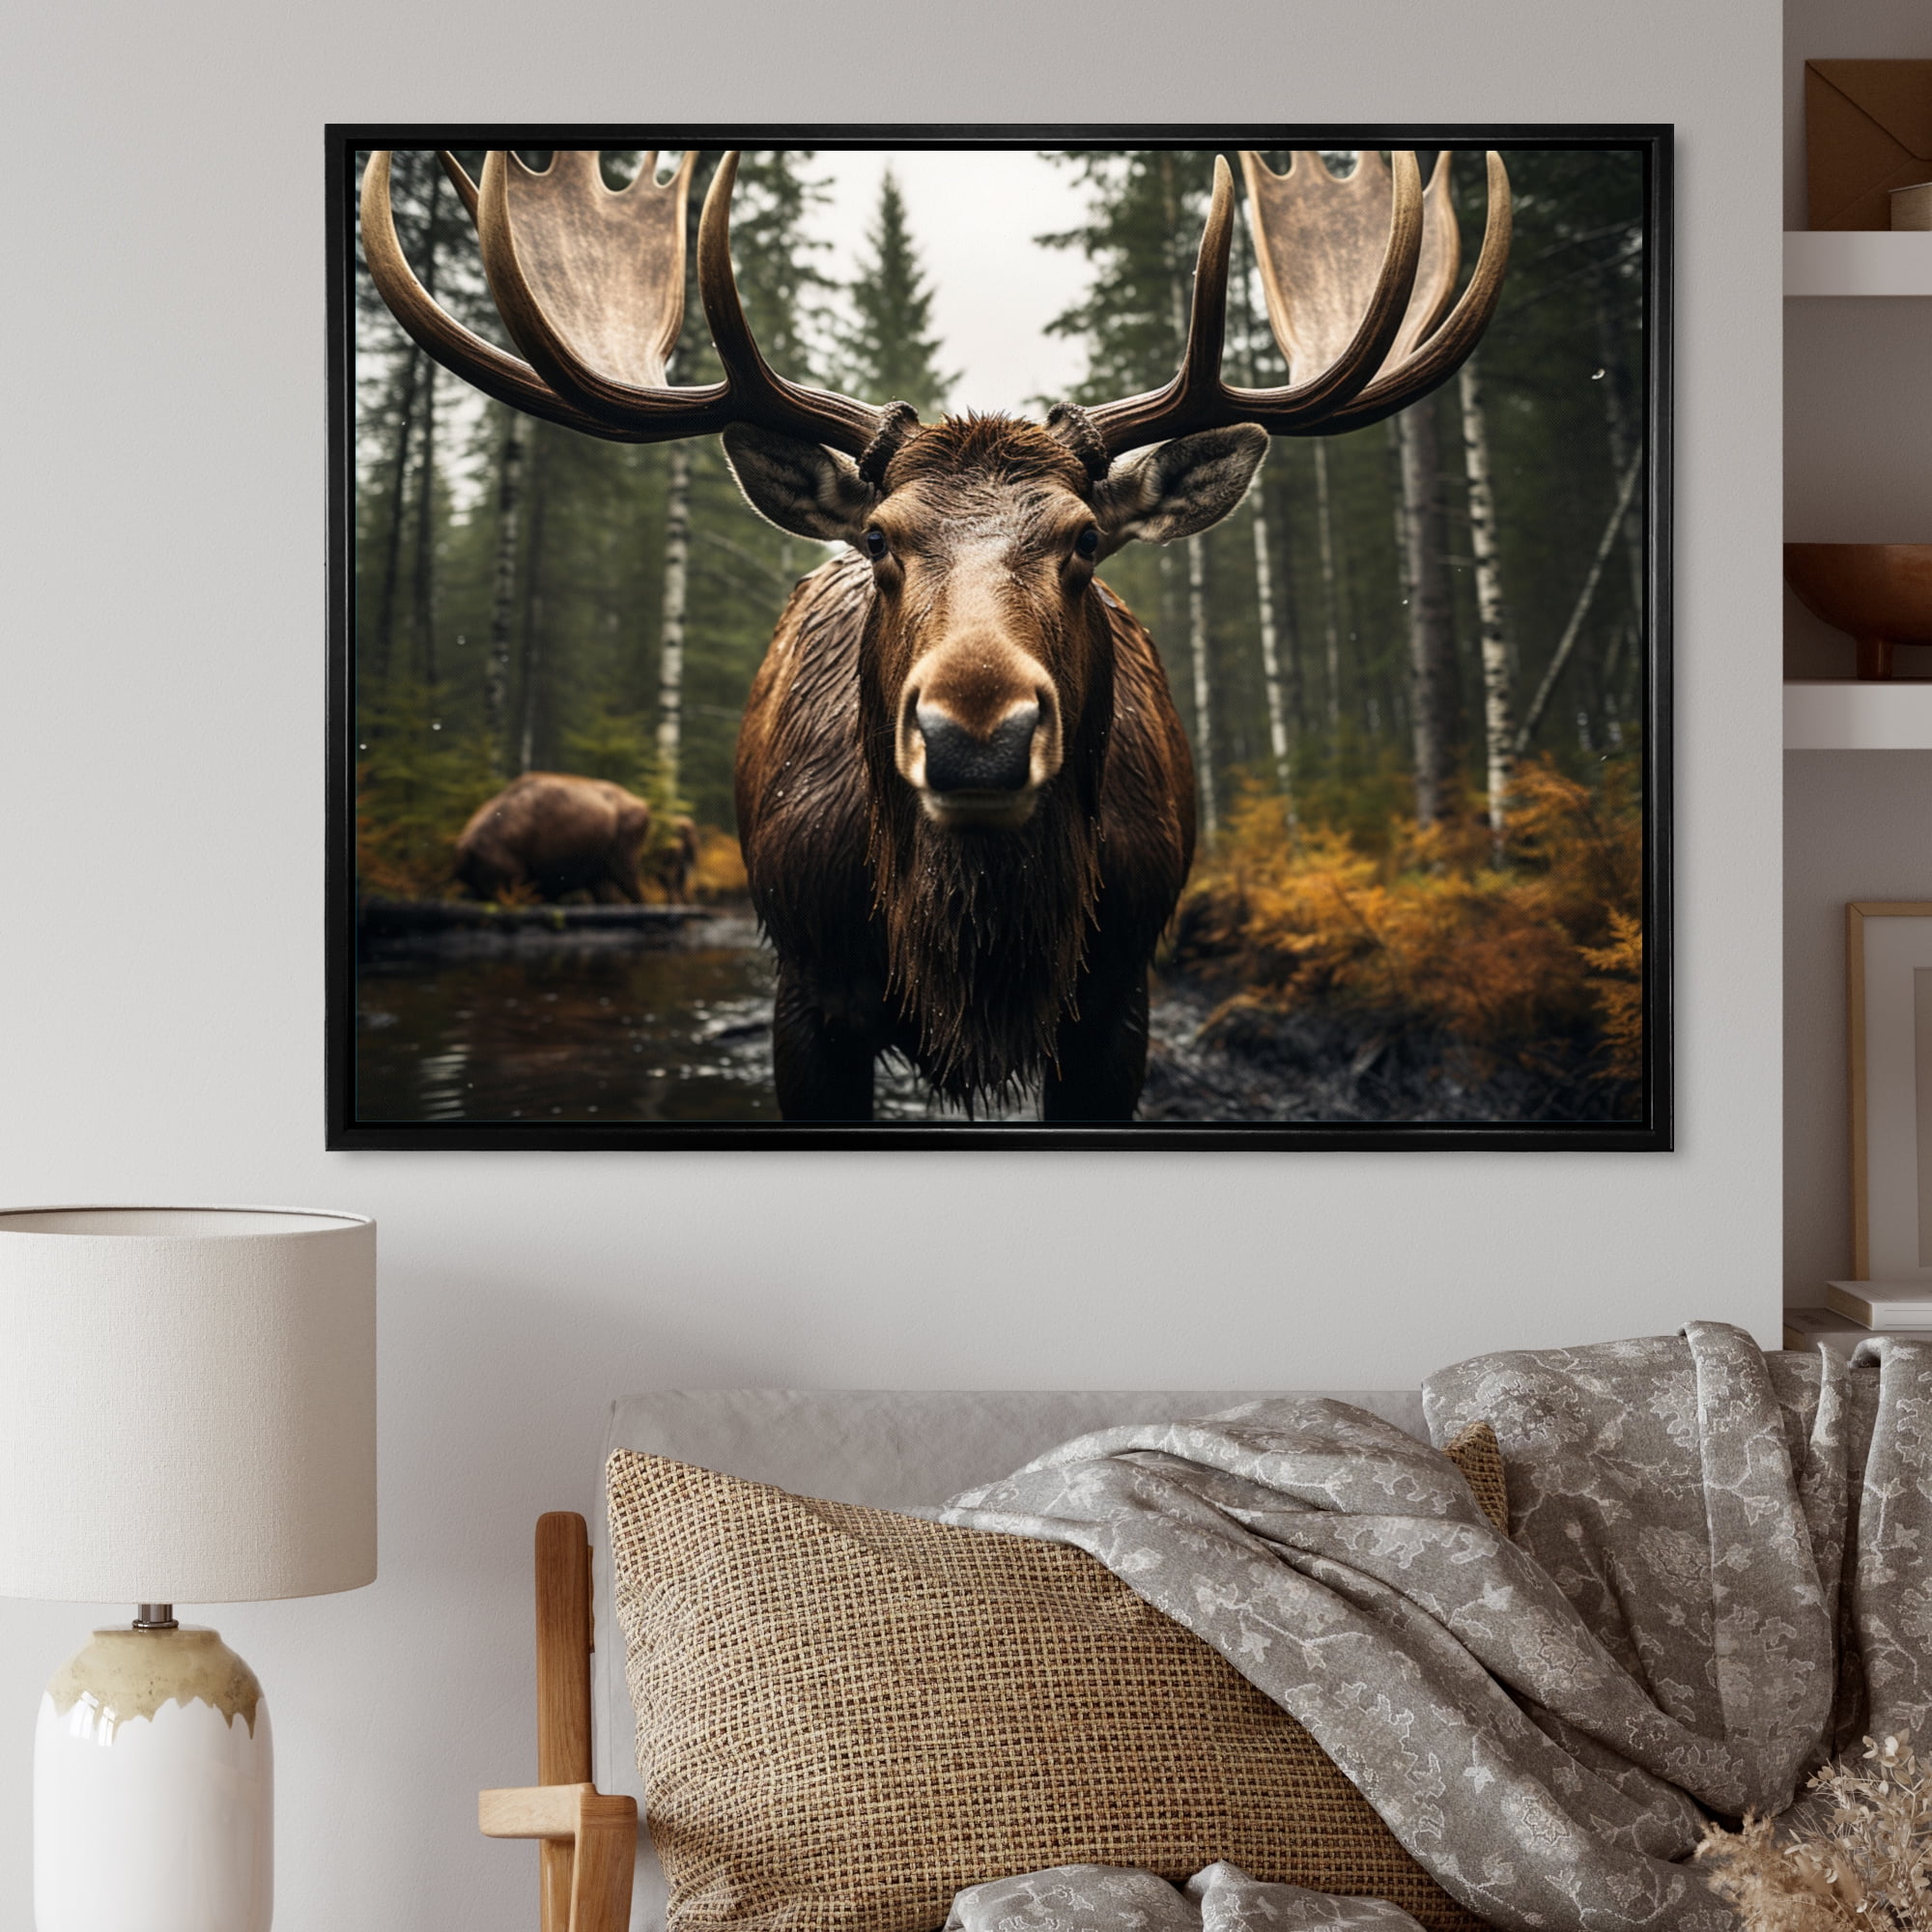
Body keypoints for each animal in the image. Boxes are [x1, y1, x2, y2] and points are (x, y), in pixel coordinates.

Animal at [361, 144, 1510, 1121]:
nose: (978, 736)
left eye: (1086, 539)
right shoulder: (807, 995)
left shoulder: (1118, 999)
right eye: (879, 536)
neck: (978, 962)